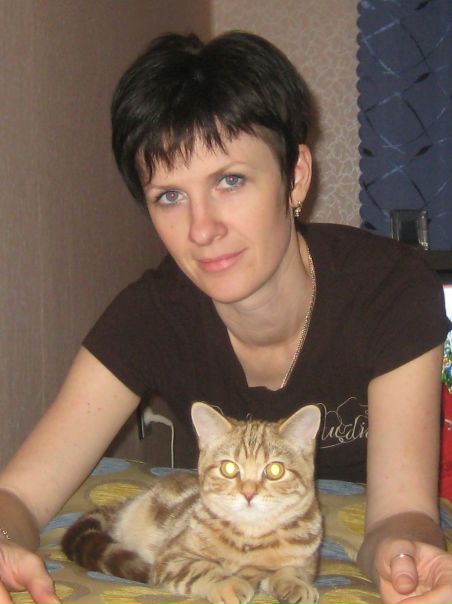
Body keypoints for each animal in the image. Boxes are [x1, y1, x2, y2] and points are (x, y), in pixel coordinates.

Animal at [62, 402, 322, 604]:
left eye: (275, 470)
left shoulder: (307, 560)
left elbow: (292, 569)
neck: (250, 537)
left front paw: (294, 582)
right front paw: (228, 583)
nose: (248, 493)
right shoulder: (172, 557)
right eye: (229, 468)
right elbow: (202, 569)